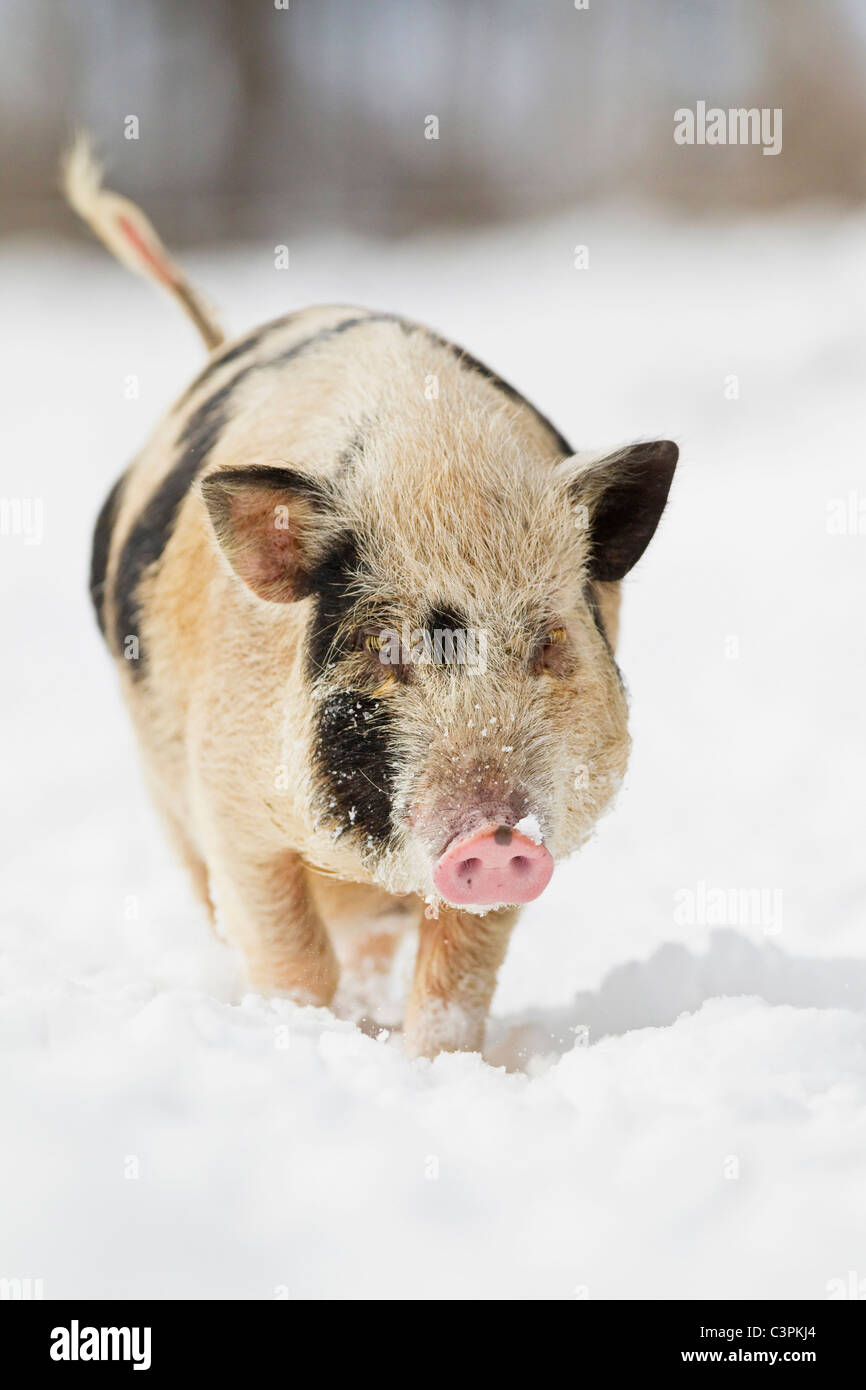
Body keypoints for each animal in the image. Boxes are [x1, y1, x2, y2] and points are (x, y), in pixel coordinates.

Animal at [67, 139, 677, 1058]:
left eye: (547, 644)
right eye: (386, 650)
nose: (494, 835)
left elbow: (457, 978)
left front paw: (434, 1063)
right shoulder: (230, 810)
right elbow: (289, 955)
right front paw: (307, 1031)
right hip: (166, 798)